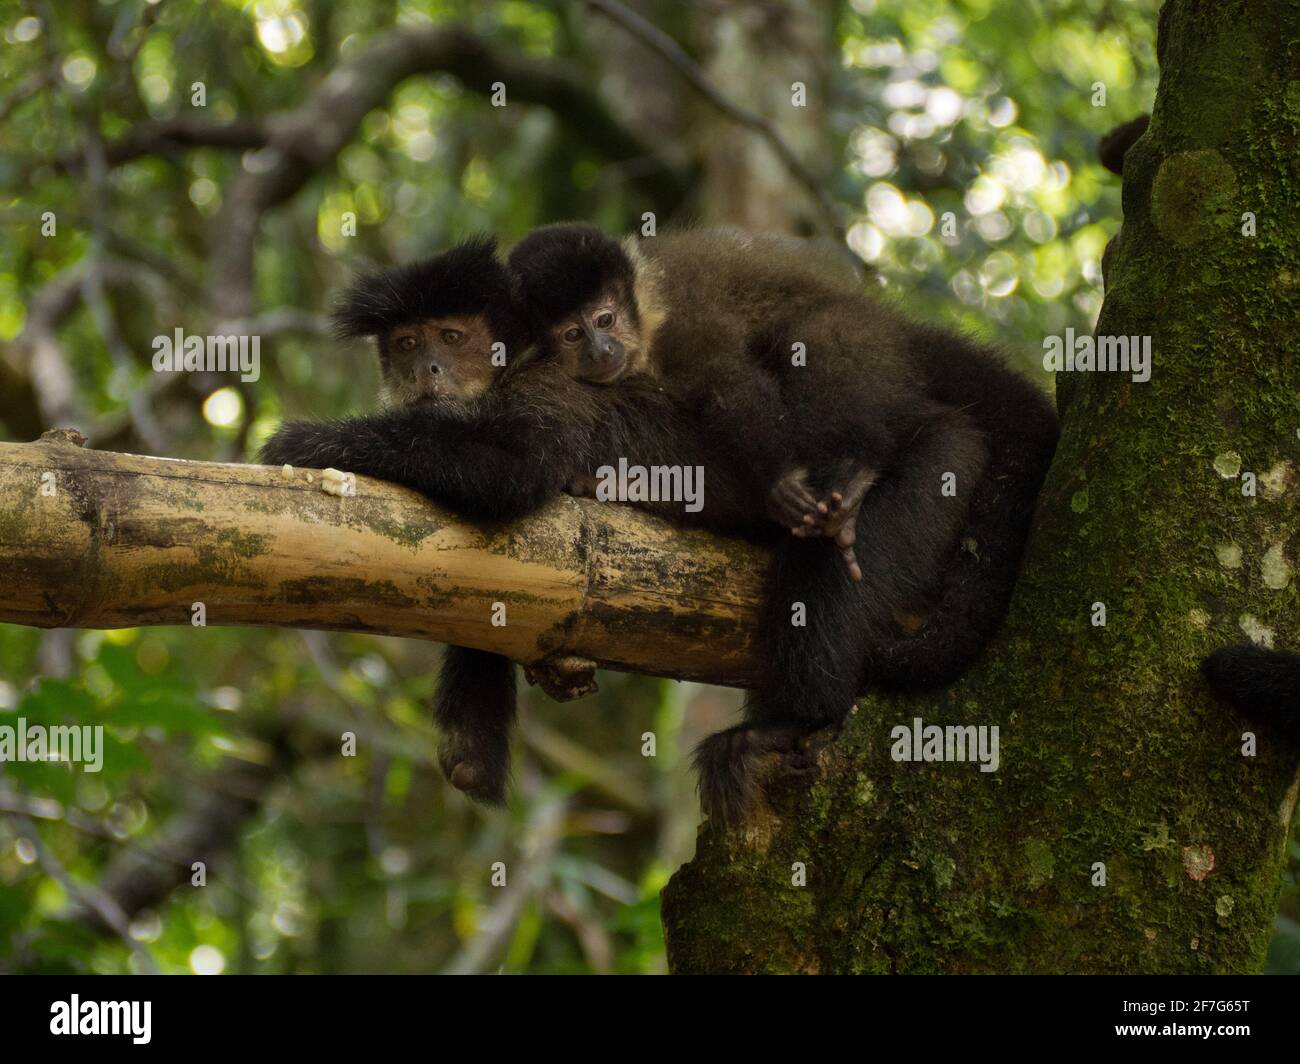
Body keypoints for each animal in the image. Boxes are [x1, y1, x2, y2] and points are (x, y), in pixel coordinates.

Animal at [507, 223, 1060, 823]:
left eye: (604, 320)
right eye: (571, 334)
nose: (601, 349)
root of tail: (898, 327)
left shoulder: (687, 323)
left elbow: (730, 381)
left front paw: (782, 483)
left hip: (885, 364)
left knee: (819, 333)